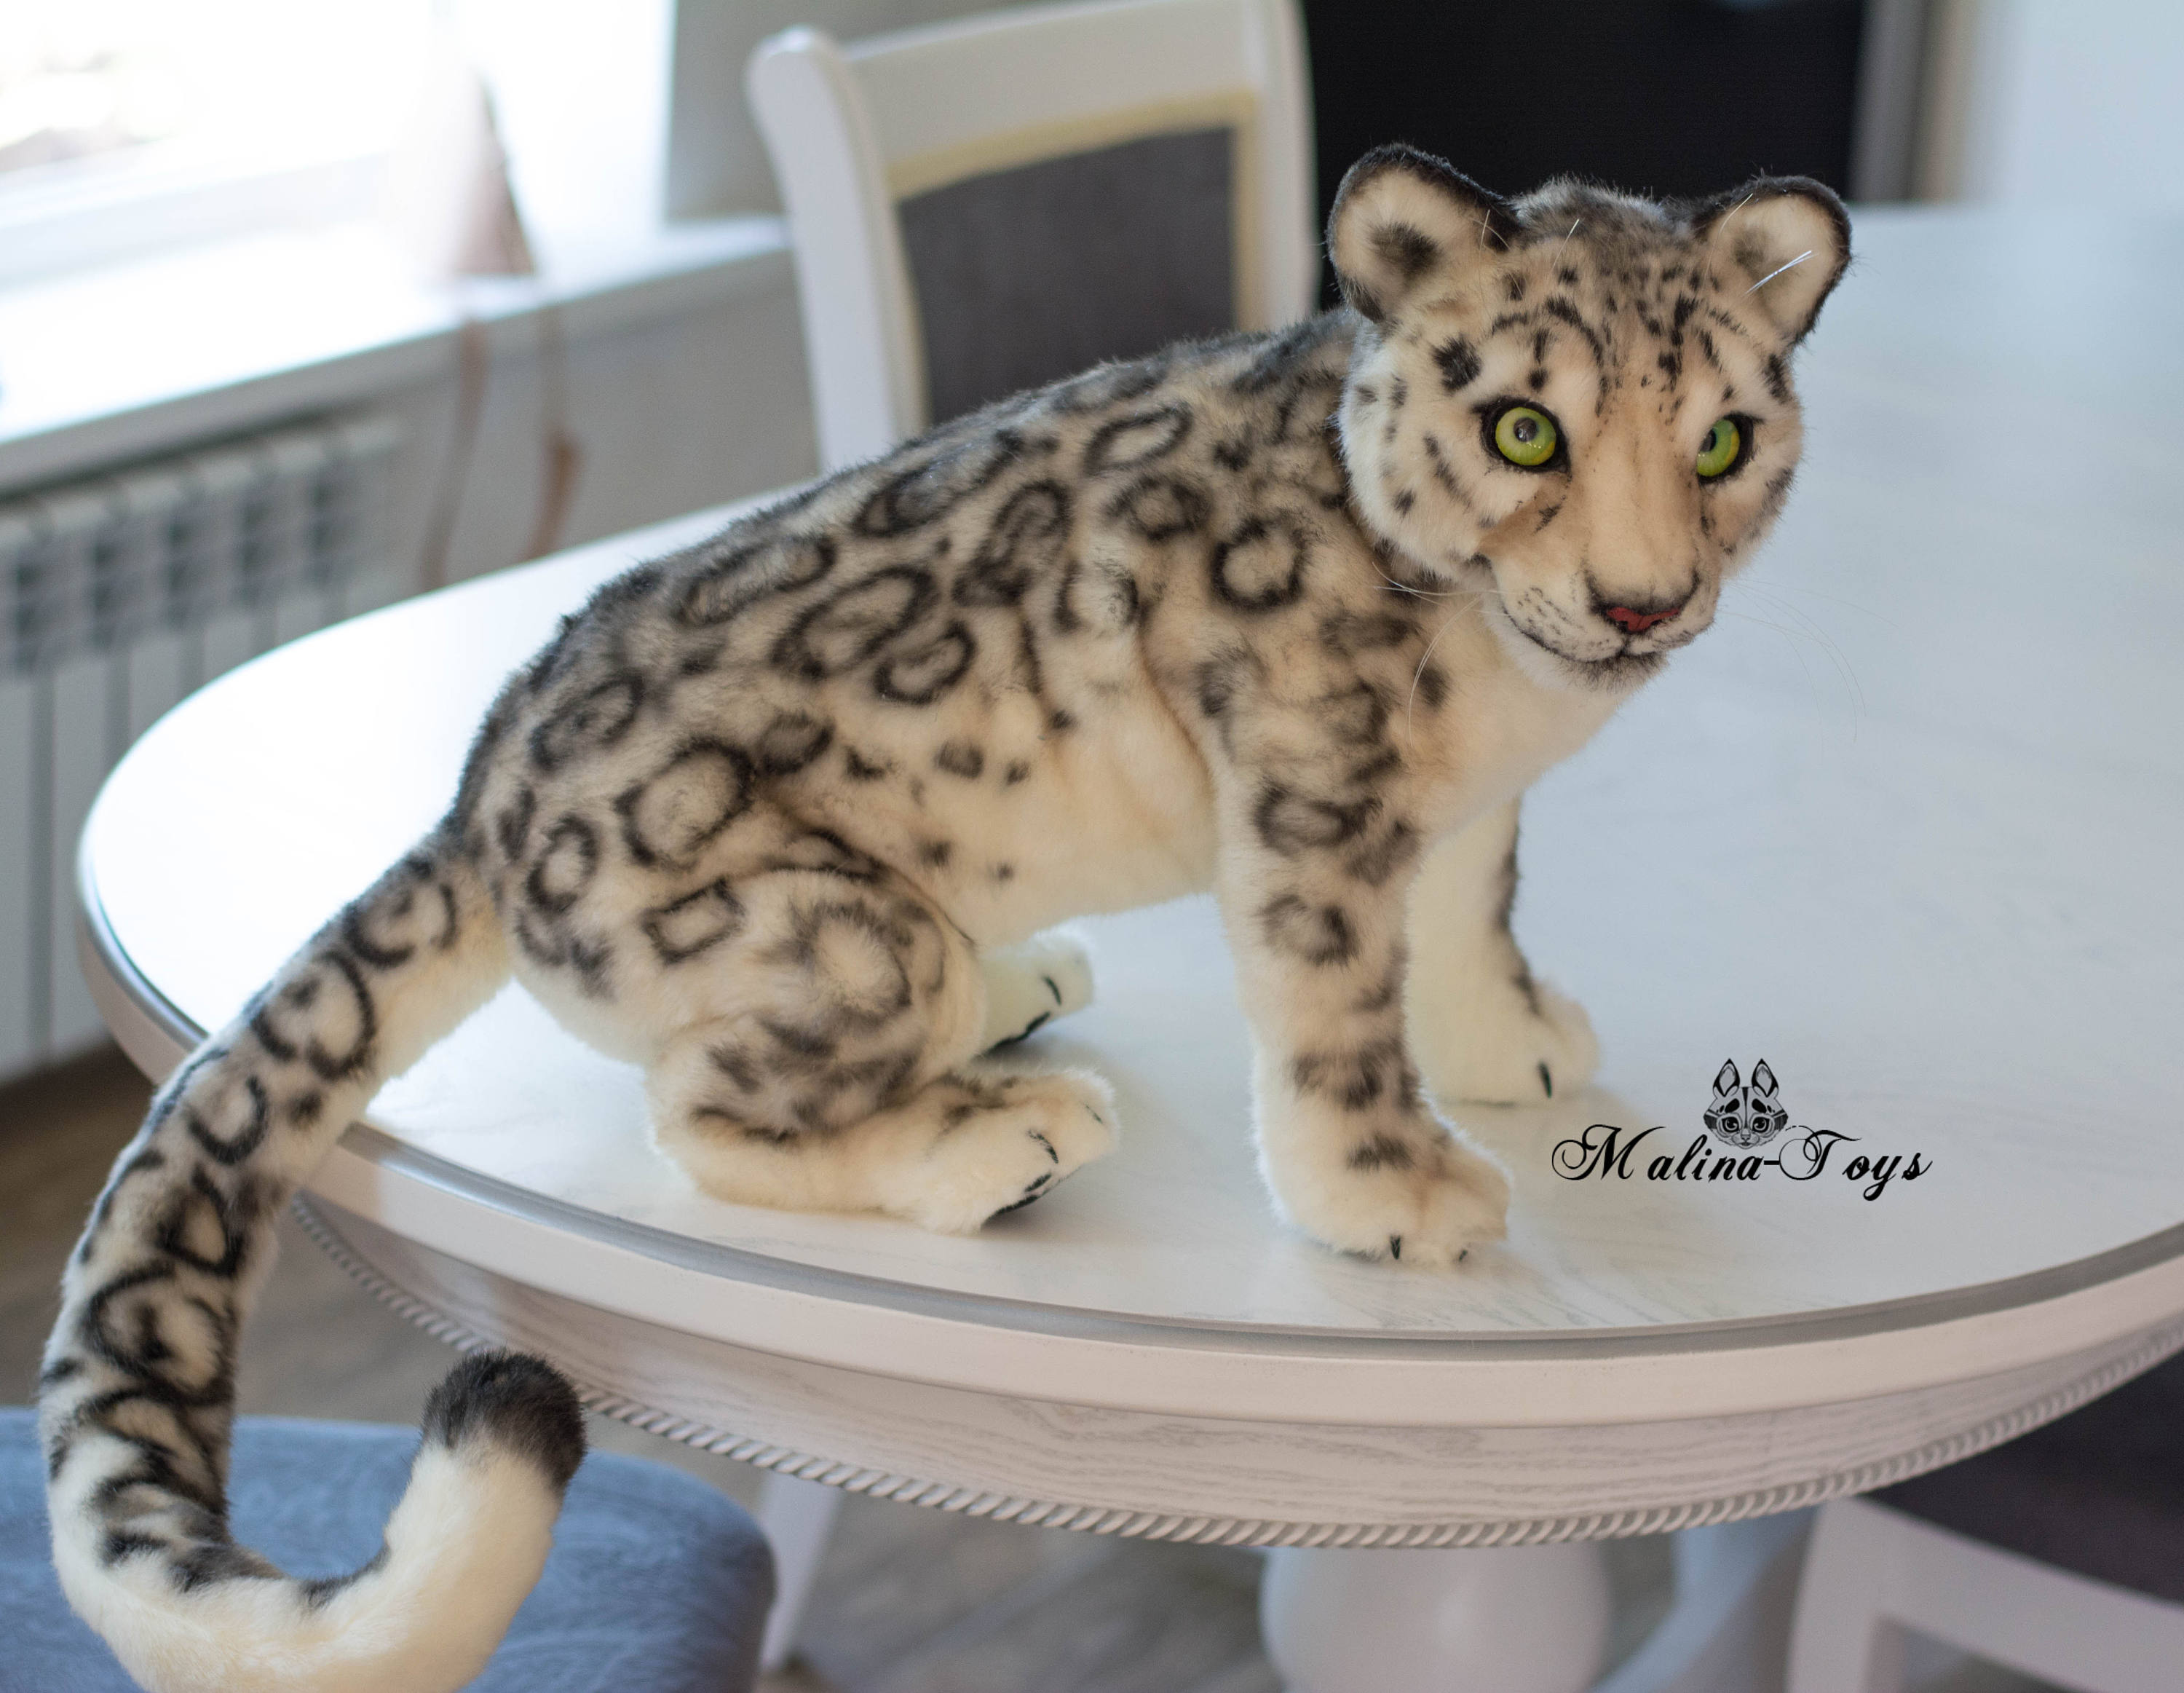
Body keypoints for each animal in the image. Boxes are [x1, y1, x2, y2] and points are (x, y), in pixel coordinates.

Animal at [39, 145, 1849, 1692]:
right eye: (1528, 428)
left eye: (1721, 439)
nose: (1640, 605)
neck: (1490, 689)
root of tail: (481, 787)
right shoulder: (1313, 782)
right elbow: (1337, 999)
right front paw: (1393, 1192)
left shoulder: (1469, 805)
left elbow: (1476, 906)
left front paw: (1514, 1043)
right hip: (838, 939)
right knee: (704, 1110)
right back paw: (995, 1133)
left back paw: (1018, 986)